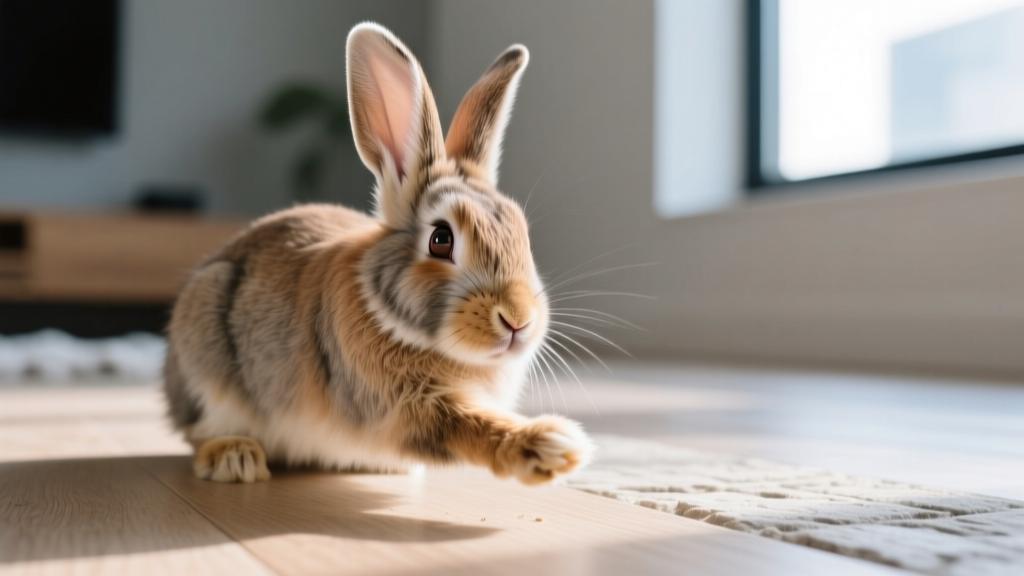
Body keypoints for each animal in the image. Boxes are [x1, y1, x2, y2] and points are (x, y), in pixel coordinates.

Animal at [163, 22, 595, 485]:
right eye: (441, 240)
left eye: (522, 233)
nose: (518, 320)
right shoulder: (405, 407)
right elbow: (466, 424)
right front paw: (552, 446)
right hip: (205, 353)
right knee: (199, 432)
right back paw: (235, 458)